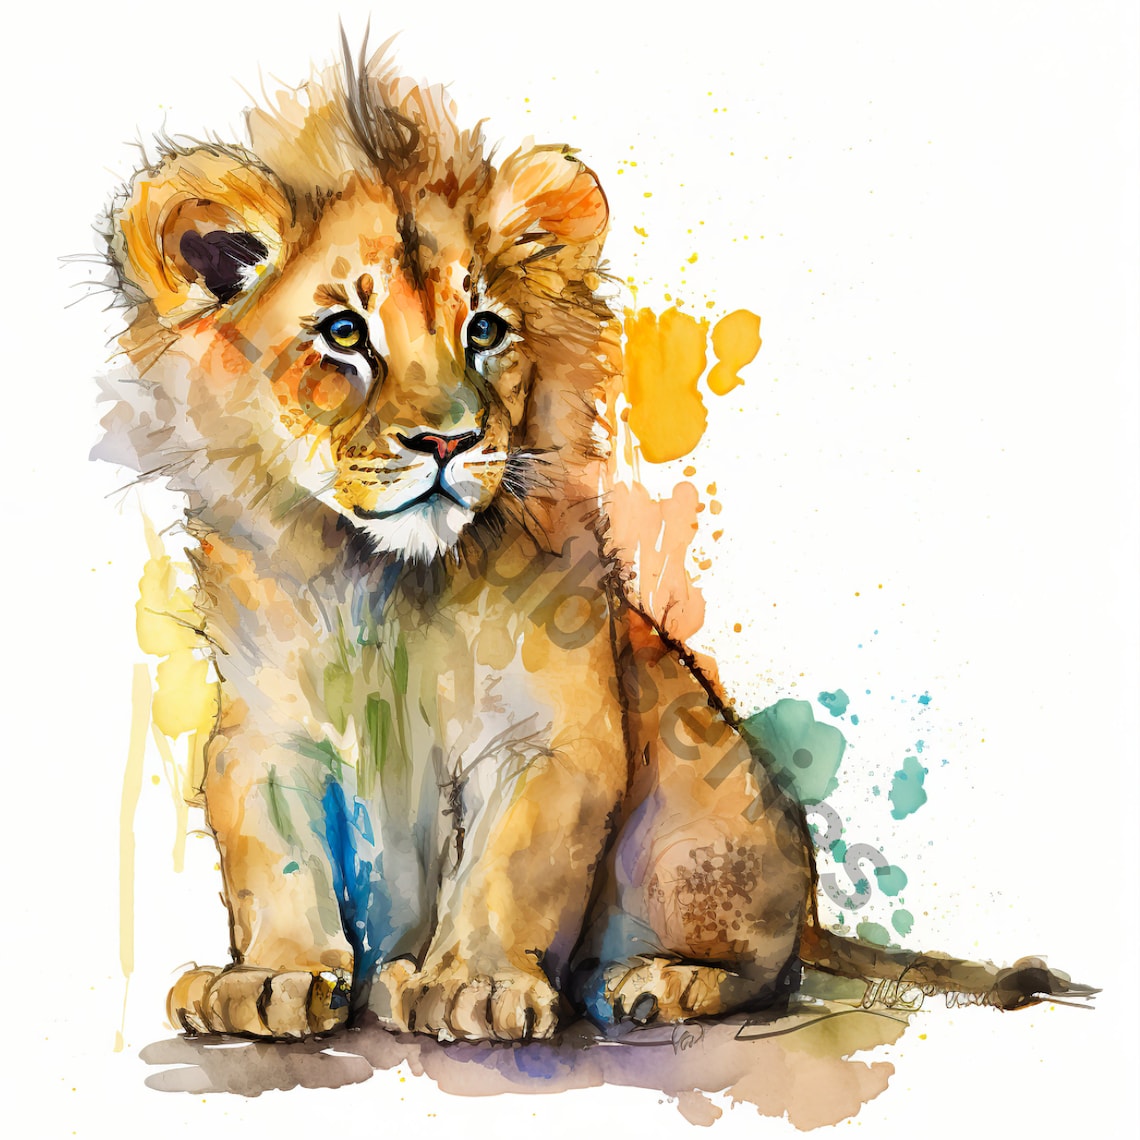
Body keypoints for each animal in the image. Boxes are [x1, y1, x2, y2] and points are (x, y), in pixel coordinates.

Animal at [96, 40, 1092, 1043]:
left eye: (485, 329)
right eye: (344, 333)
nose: (449, 440)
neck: (386, 587)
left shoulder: (550, 733)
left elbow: (513, 865)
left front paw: (479, 985)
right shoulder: (265, 736)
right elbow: (278, 861)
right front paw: (270, 977)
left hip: (705, 817)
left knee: (769, 969)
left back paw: (652, 981)